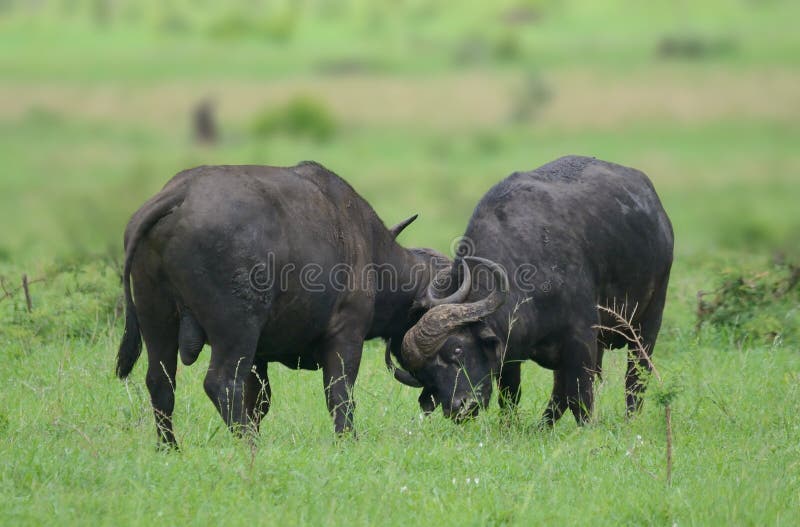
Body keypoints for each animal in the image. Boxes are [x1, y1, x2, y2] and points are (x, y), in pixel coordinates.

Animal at [116, 161, 455, 447]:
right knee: (221, 383)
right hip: (236, 331)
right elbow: (340, 394)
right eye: (457, 340)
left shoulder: (258, 357)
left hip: (157, 318)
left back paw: (169, 448)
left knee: (160, 382)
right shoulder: (347, 335)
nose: (460, 405)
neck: (368, 249)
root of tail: (180, 194)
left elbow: (259, 401)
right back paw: (247, 446)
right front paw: (349, 442)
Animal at [386, 155, 674, 425]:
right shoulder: (510, 355)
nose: (460, 407)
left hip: (649, 320)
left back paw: (630, 420)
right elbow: (511, 396)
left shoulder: (581, 339)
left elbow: (581, 397)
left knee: (635, 378)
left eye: (456, 350)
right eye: (426, 374)